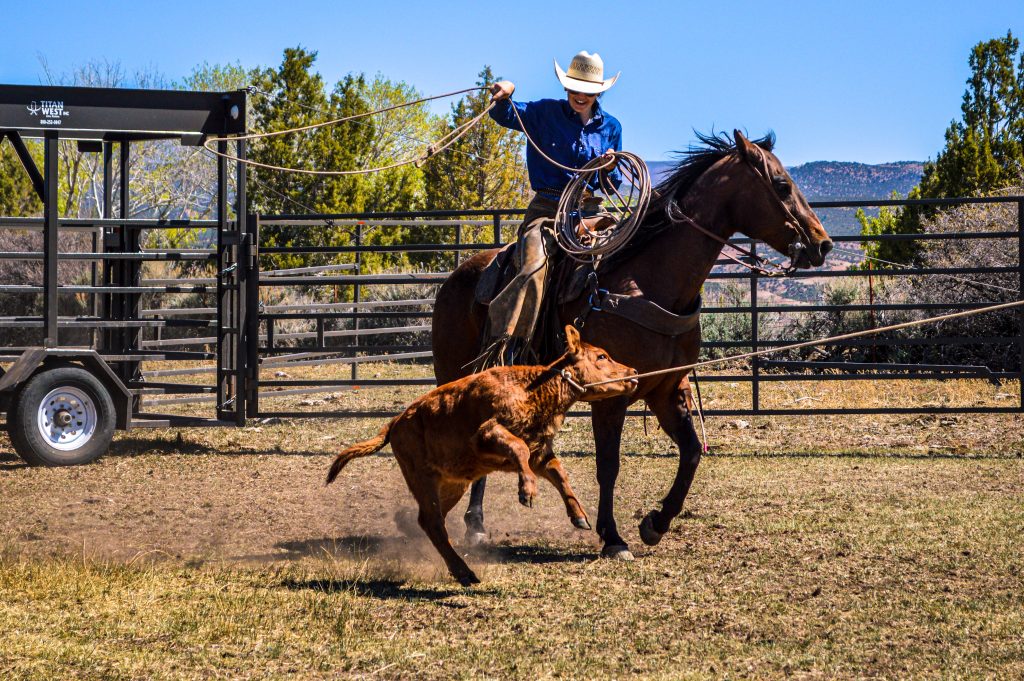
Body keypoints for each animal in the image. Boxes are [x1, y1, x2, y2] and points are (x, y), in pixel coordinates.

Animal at [430, 130, 833, 560]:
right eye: (782, 185)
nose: (823, 244)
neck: (651, 283)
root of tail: (454, 278)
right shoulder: (611, 398)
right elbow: (609, 464)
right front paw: (612, 536)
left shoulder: (665, 390)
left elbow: (691, 452)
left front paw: (655, 523)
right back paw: (471, 524)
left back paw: (475, 523)